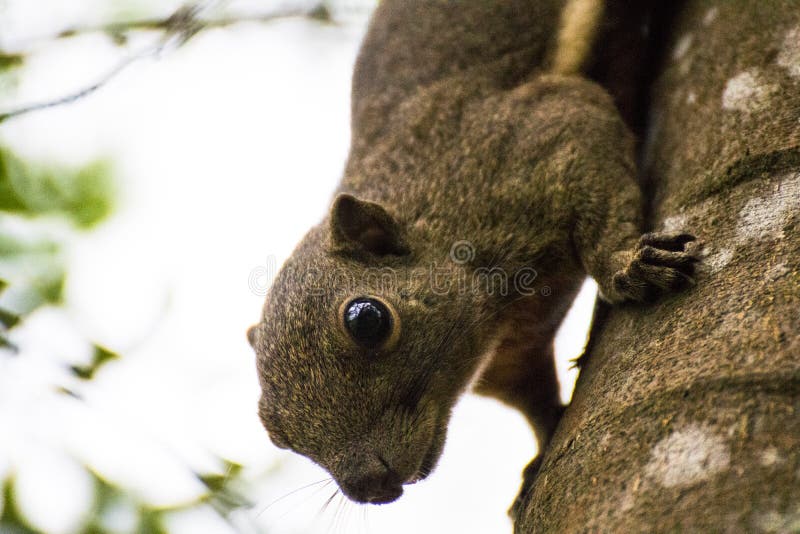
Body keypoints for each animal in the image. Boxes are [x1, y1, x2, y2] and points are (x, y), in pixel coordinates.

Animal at [248, 0, 697, 512]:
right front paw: (542, 447)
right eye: (275, 433)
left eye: (367, 319)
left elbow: (594, 178)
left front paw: (627, 265)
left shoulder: (533, 137)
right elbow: (532, 394)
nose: (371, 485)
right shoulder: (511, 359)